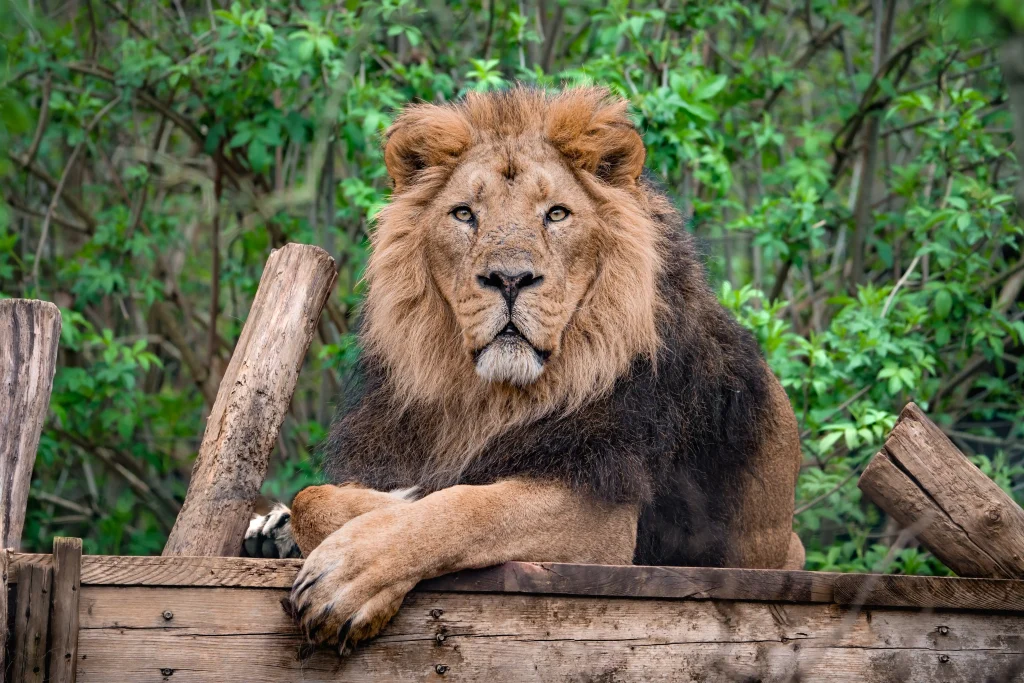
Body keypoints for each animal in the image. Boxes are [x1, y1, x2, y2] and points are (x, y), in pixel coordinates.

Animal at [243, 86, 805, 652]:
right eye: (464, 214)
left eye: (556, 214)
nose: (510, 279)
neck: (486, 399)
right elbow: (318, 496)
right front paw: (289, 523)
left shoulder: (603, 519)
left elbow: (461, 507)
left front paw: (346, 572)